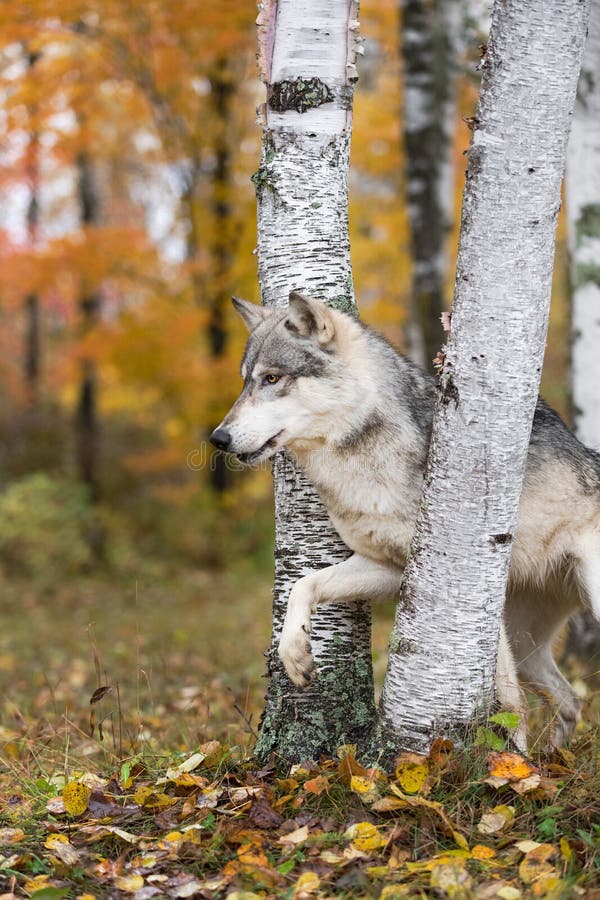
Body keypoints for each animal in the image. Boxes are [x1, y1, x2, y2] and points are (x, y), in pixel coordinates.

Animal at [210, 291, 600, 746]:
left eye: (272, 379)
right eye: (245, 381)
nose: (218, 438)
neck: (357, 464)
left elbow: (508, 702)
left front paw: (513, 761)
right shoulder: (388, 567)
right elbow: (302, 585)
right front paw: (294, 654)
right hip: (526, 644)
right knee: (572, 699)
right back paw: (557, 755)